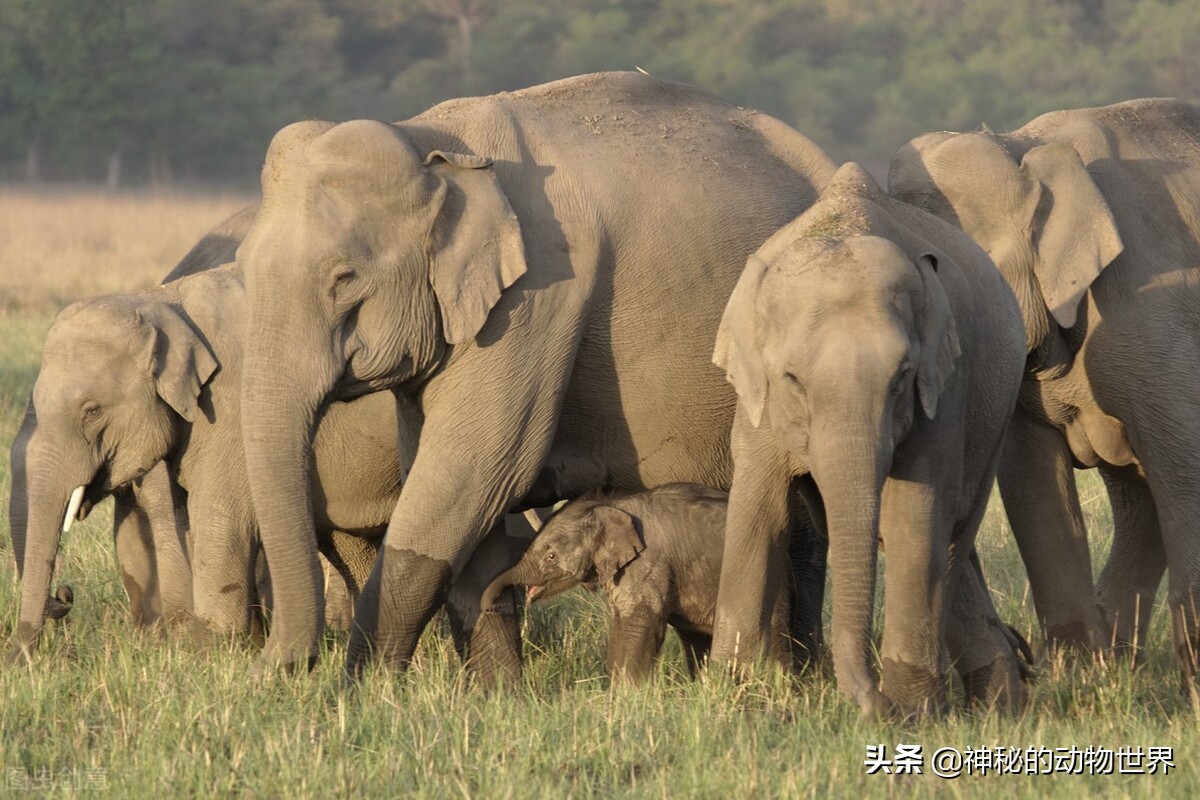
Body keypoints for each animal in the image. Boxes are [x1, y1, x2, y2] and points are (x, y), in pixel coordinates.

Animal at [482, 483, 792, 681]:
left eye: (550, 556)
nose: (488, 608)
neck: (612, 506)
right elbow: (622, 625)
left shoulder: (648, 562)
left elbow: (638, 624)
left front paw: (626, 696)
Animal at [711, 162, 1028, 717]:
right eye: (792, 378)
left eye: (901, 377)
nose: (871, 702)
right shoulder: (757, 402)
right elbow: (758, 510)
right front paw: (734, 693)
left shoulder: (945, 388)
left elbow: (914, 513)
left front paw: (912, 712)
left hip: (998, 410)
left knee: (954, 528)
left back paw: (995, 707)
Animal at [888, 98, 1200, 681]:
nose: (1022, 655)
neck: (1026, 148)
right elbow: (1032, 477)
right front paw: (1080, 678)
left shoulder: (1153, 309)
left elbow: (1185, 462)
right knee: (1135, 499)